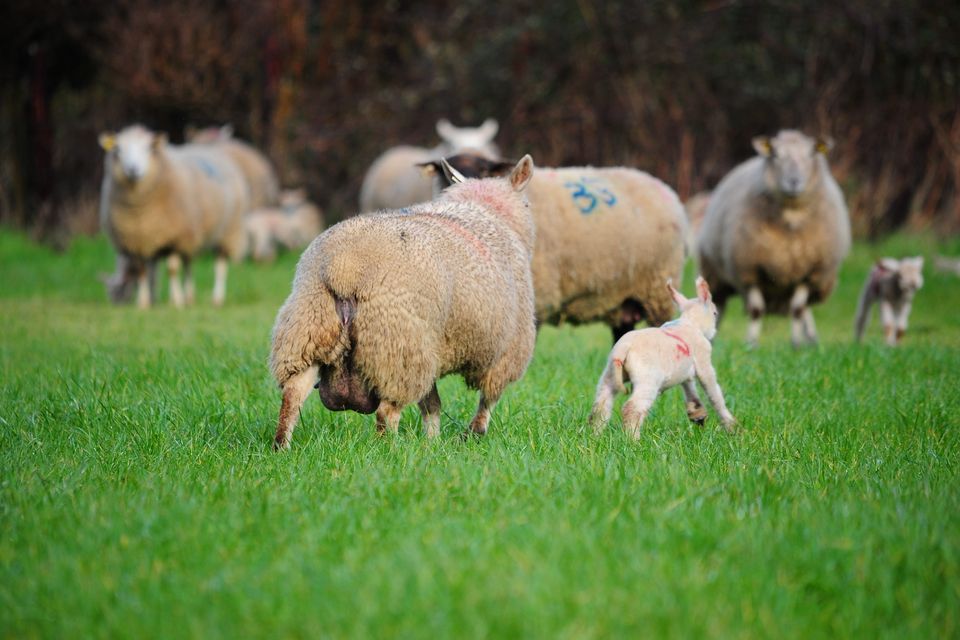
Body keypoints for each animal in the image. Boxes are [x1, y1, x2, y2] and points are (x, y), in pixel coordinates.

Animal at [98, 124, 250, 308]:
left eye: (148, 148)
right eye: (118, 150)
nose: (133, 170)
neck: (139, 211)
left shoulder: (175, 237)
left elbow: (171, 269)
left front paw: (175, 301)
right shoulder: (137, 241)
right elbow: (144, 270)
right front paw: (145, 302)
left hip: (227, 231)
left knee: (219, 266)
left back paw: (215, 298)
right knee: (188, 265)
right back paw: (189, 297)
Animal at [269, 155, 536, 449]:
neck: (485, 211)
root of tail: (346, 266)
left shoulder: (432, 348)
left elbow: (432, 404)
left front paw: (432, 442)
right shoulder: (508, 351)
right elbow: (487, 400)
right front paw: (473, 434)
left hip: (308, 329)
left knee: (292, 396)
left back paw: (282, 447)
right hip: (397, 345)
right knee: (387, 412)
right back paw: (388, 450)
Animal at [589, 277, 736, 438]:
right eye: (715, 313)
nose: (714, 332)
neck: (690, 322)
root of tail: (623, 348)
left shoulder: (685, 370)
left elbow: (689, 386)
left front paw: (697, 413)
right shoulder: (703, 360)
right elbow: (714, 393)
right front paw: (731, 427)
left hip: (610, 373)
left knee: (601, 405)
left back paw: (596, 435)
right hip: (648, 378)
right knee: (632, 408)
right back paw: (633, 439)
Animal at [696, 130, 851, 347]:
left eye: (810, 154)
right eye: (776, 155)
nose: (794, 181)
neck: (791, 216)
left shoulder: (809, 273)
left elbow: (797, 310)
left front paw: (796, 344)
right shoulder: (749, 270)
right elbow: (756, 310)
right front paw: (751, 344)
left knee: (805, 310)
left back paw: (812, 339)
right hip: (715, 274)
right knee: (719, 303)